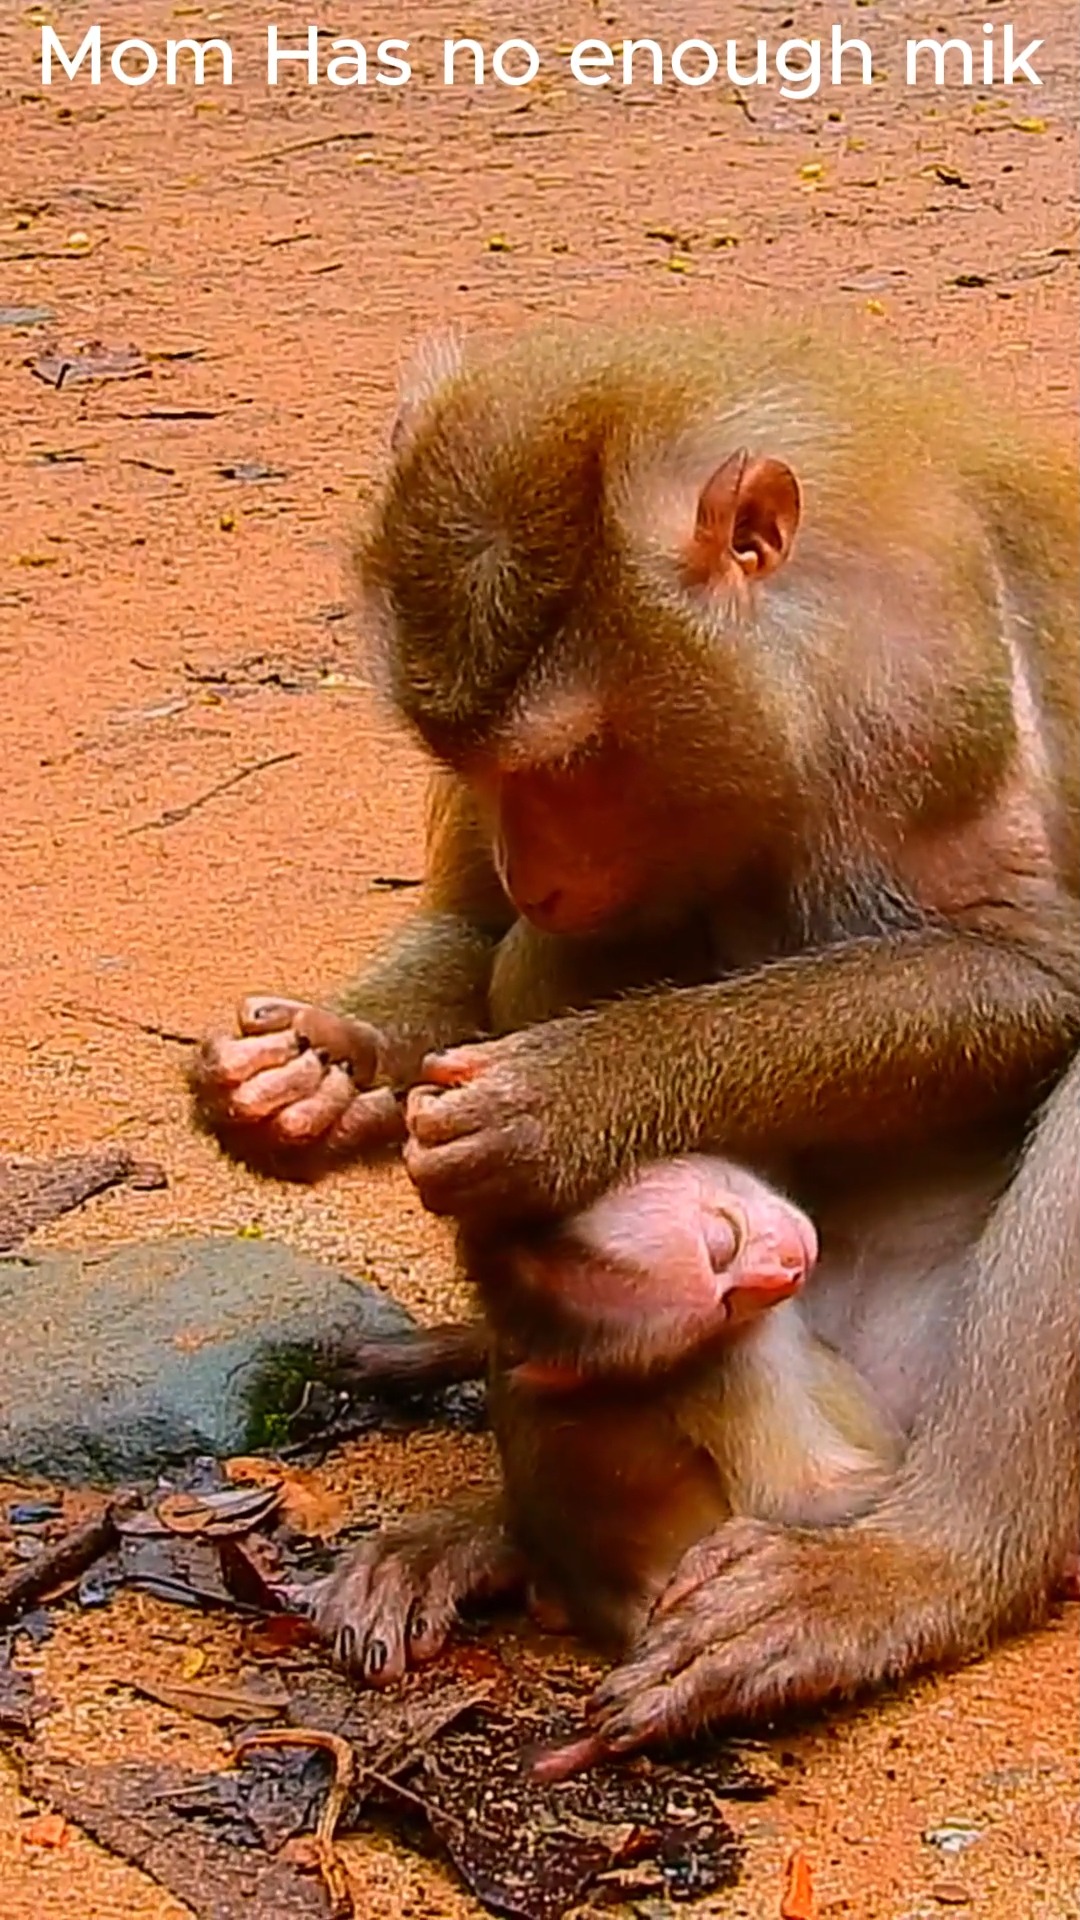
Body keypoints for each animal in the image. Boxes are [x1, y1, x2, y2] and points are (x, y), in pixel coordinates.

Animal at [190, 319, 1080, 1761]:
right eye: (474, 765)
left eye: (571, 763)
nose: (533, 865)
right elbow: (476, 927)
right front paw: (314, 1076)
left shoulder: (921, 672)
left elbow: (1033, 970)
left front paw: (576, 1099)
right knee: (536, 959)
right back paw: (496, 1515)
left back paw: (915, 1571)